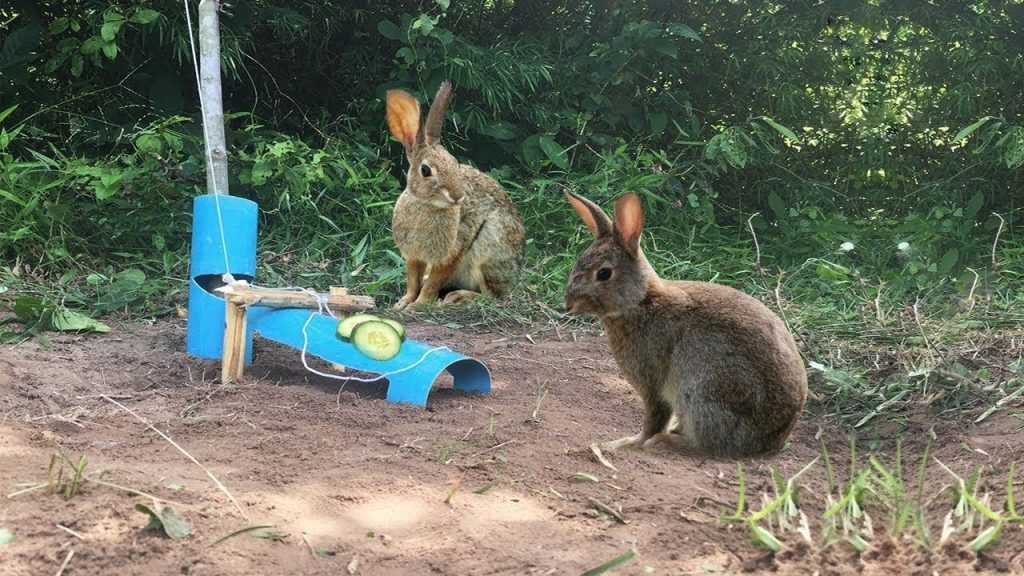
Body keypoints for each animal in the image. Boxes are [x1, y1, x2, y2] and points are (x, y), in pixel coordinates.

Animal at [385, 80, 525, 309]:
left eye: (455, 163)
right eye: (425, 171)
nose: (459, 196)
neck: (425, 205)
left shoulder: (451, 254)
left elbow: (432, 283)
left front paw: (419, 304)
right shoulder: (414, 257)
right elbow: (413, 282)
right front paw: (403, 303)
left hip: (489, 248)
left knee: (492, 296)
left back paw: (457, 297)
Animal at [563, 190, 808, 458]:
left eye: (604, 273)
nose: (568, 304)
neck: (641, 302)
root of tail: (769, 442)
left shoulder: (653, 385)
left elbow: (654, 418)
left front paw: (629, 443)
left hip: (704, 390)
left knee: (705, 443)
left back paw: (663, 441)